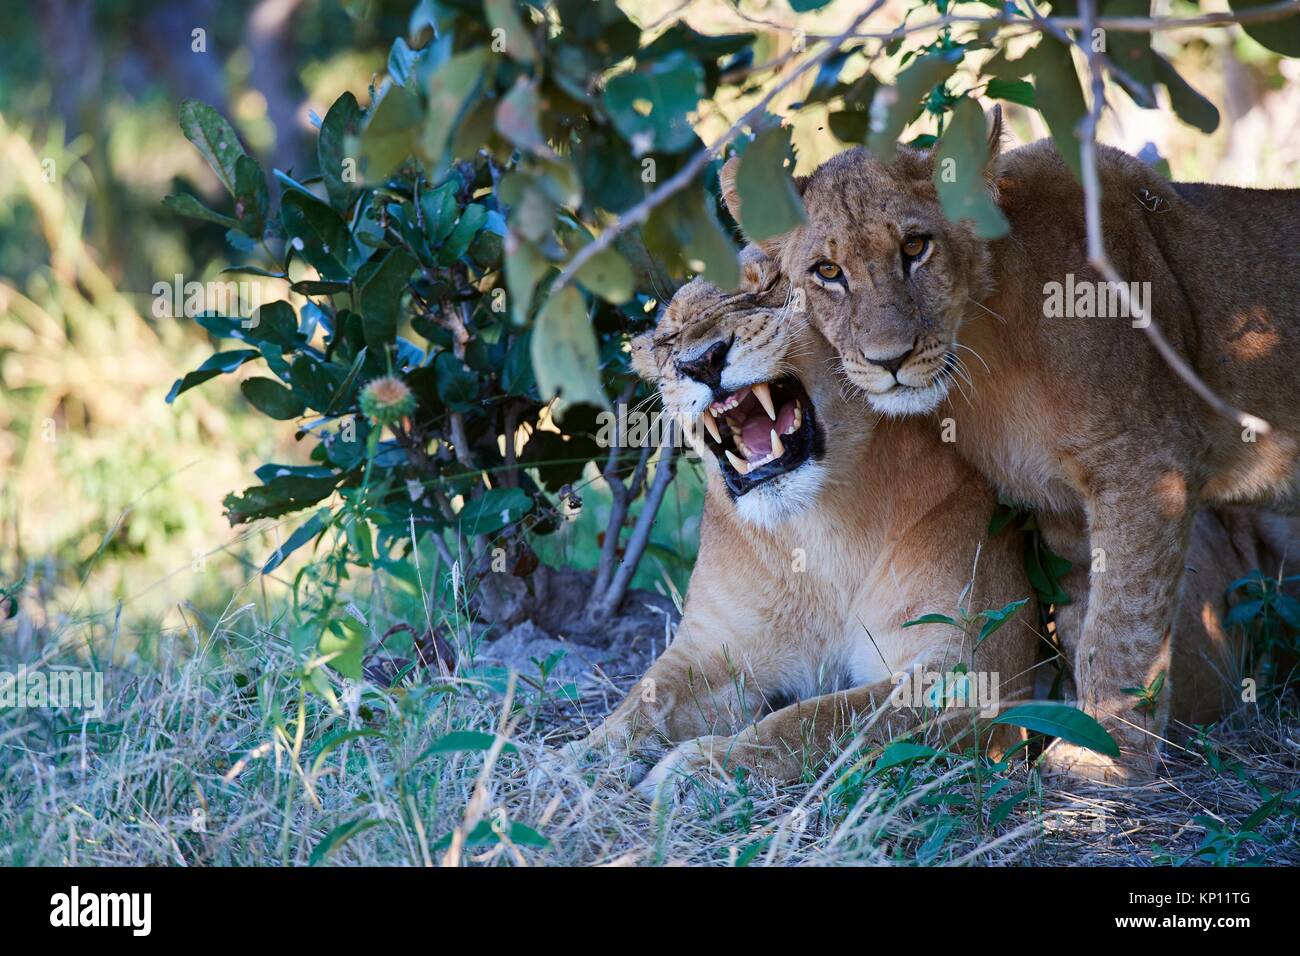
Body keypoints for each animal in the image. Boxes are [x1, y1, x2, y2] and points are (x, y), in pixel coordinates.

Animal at [569, 250, 1043, 797]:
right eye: (670, 337)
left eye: (767, 289)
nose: (701, 361)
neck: (818, 527)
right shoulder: (711, 648)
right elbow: (642, 701)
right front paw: (571, 763)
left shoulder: (971, 670)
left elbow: (826, 721)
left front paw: (696, 768)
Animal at [720, 116, 1300, 780]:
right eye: (826, 271)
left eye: (915, 248)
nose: (888, 360)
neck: (987, 333)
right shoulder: (1062, 506)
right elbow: (1085, 620)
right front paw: (1084, 733)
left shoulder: (1147, 467)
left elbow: (1122, 624)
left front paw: (1098, 765)